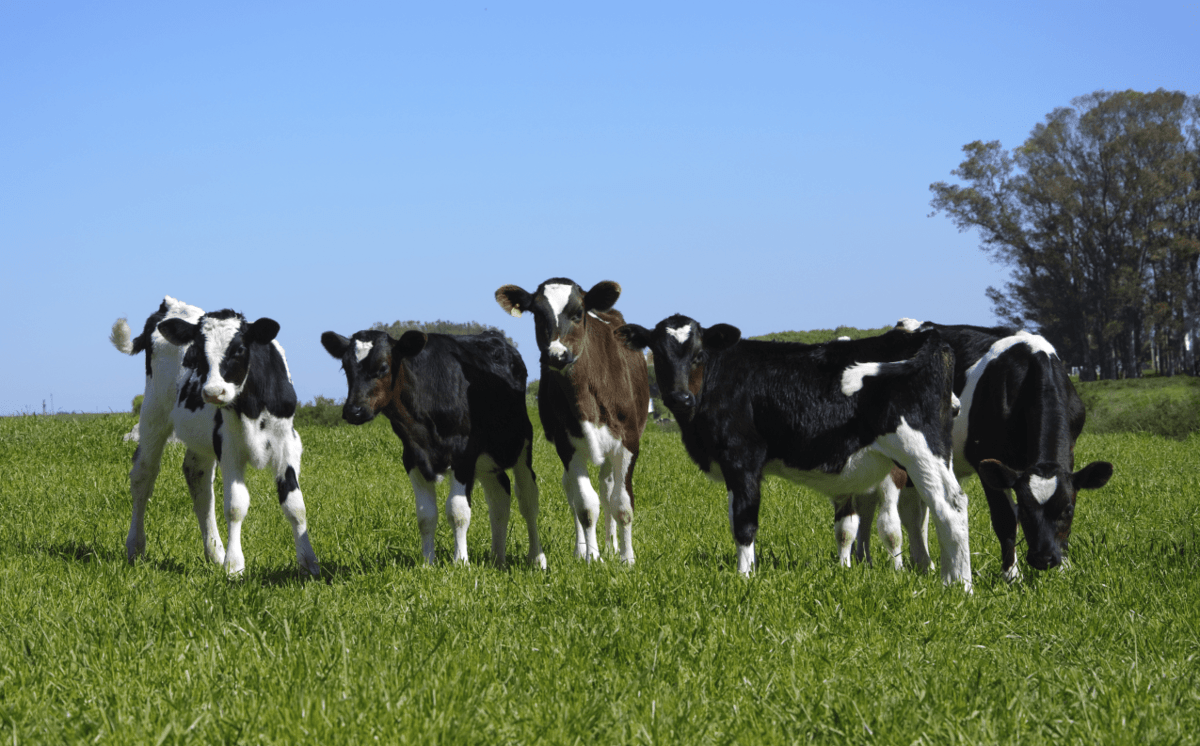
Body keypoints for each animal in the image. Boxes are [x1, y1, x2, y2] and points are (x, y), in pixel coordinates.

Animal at [110, 296, 320, 576]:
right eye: (197, 353)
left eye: (239, 349)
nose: (212, 392)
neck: (252, 406)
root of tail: (169, 304)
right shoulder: (229, 446)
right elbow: (235, 505)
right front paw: (234, 566)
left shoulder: (288, 443)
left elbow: (295, 505)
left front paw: (309, 563)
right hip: (153, 413)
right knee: (143, 476)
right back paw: (135, 547)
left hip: (199, 438)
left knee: (198, 481)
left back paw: (215, 553)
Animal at [320, 327, 545, 568]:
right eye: (345, 368)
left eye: (383, 367)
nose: (354, 410)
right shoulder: (412, 457)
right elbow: (426, 515)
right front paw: (427, 563)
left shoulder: (463, 456)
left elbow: (458, 512)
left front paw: (460, 562)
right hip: (487, 463)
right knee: (499, 500)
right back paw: (497, 560)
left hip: (522, 445)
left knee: (528, 500)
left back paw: (537, 559)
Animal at [495, 279, 649, 564]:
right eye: (537, 314)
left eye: (578, 313)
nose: (556, 355)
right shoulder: (568, 445)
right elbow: (585, 506)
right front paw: (592, 557)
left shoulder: (628, 443)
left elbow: (622, 503)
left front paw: (627, 559)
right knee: (573, 491)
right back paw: (583, 549)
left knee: (608, 490)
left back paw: (611, 545)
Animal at [616, 315, 973, 589]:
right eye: (658, 354)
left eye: (698, 354)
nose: (679, 398)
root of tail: (930, 337)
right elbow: (735, 520)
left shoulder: (742, 457)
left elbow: (744, 523)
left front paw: (744, 577)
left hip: (918, 448)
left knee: (949, 505)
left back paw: (958, 585)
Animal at [843, 320, 1113, 581]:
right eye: (1025, 510)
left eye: (1068, 510)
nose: (1043, 559)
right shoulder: (988, 461)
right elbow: (1005, 519)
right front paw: (1011, 575)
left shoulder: (1069, 454)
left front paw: (1064, 568)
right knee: (907, 510)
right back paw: (908, 561)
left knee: (918, 509)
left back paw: (922, 563)